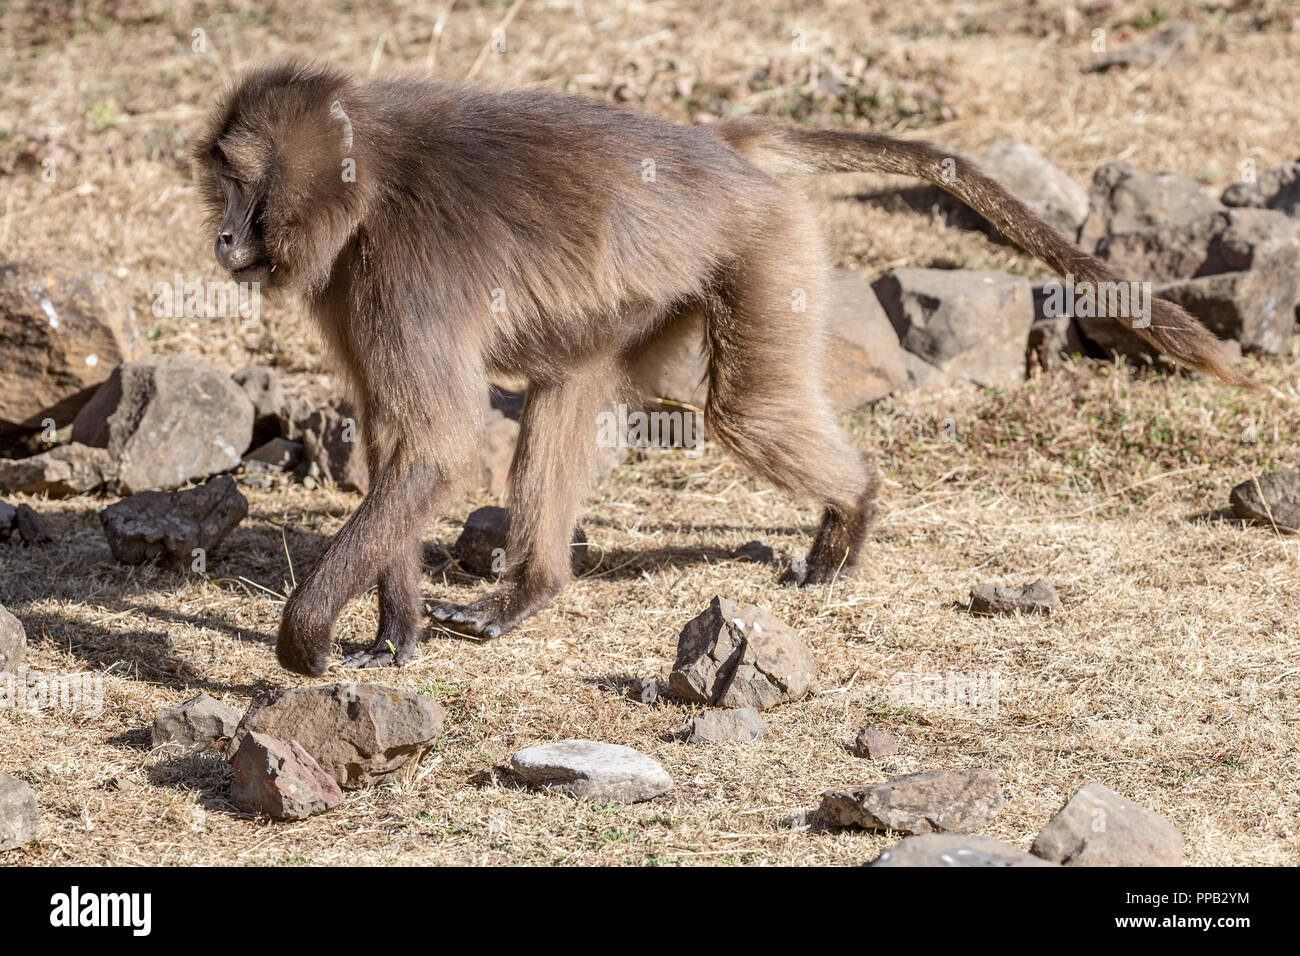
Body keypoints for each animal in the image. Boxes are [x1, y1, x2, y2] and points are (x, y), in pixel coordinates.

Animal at [194, 61, 1246, 677]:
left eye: (244, 184)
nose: (222, 239)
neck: (368, 179)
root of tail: (722, 148)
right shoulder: (354, 285)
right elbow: (397, 441)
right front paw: (392, 633)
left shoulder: (403, 271)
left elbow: (439, 446)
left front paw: (305, 639)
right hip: (652, 291)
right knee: (568, 389)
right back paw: (531, 593)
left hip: (766, 247)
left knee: (743, 410)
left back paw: (853, 512)